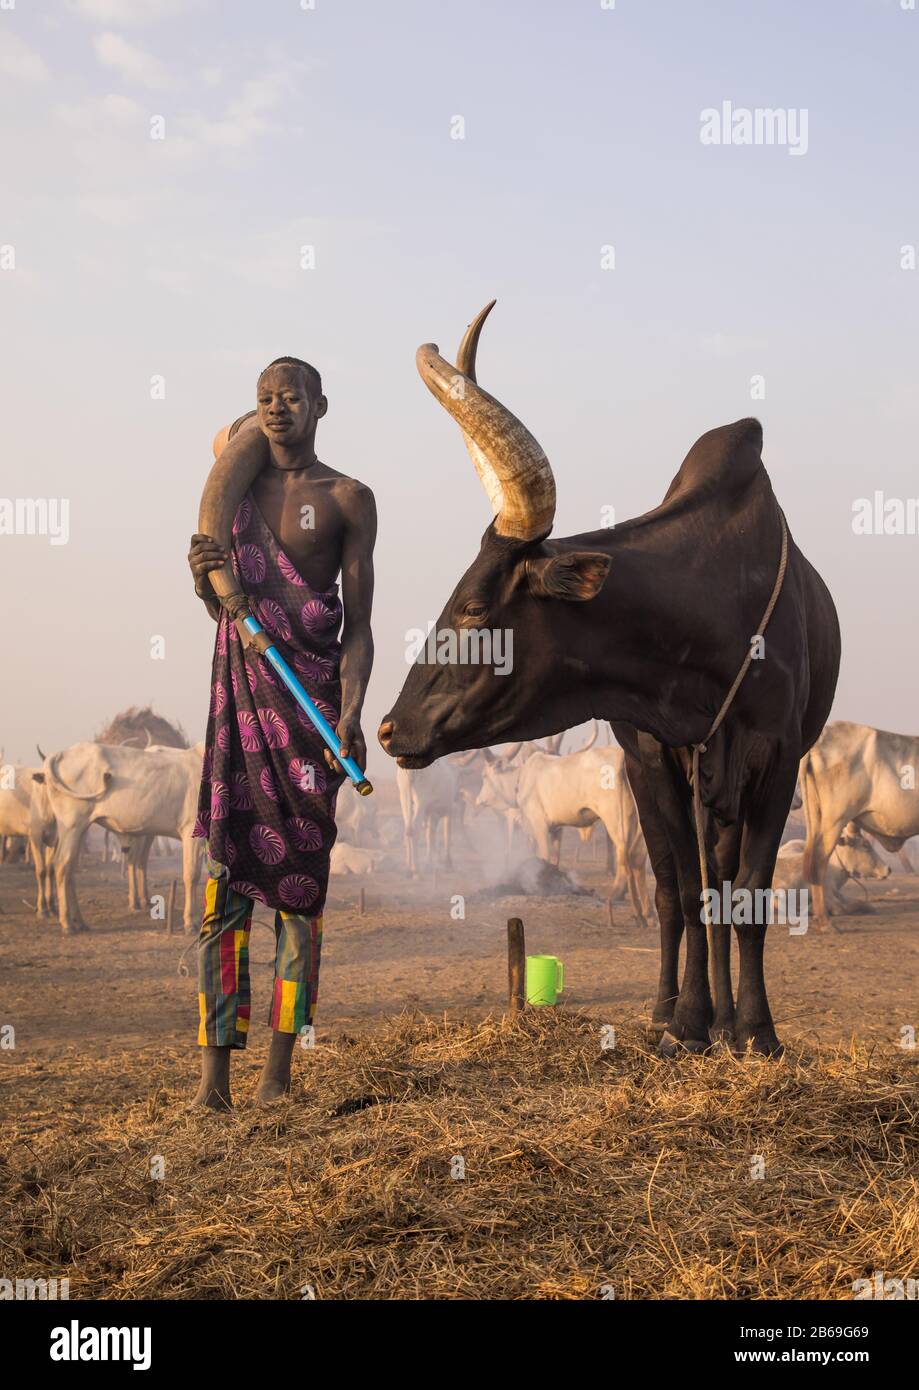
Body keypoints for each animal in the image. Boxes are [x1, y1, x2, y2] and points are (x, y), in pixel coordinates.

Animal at [36, 742, 205, 933]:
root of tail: (58, 755)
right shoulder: (191, 830)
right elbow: (192, 875)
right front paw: (191, 922)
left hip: (80, 829)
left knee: (70, 868)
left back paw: (79, 921)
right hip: (71, 825)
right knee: (62, 864)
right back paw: (67, 923)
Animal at [476, 741, 655, 927]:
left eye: (484, 776)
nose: (479, 800)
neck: (521, 779)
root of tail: (621, 755)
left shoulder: (538, 825)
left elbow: (543, 856)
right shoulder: (557, 828)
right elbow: (554, 860)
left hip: (615, 817)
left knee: (625, 854)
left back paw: (629, 907)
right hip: (637, 818)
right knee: (638, 856)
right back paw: (648, 913)